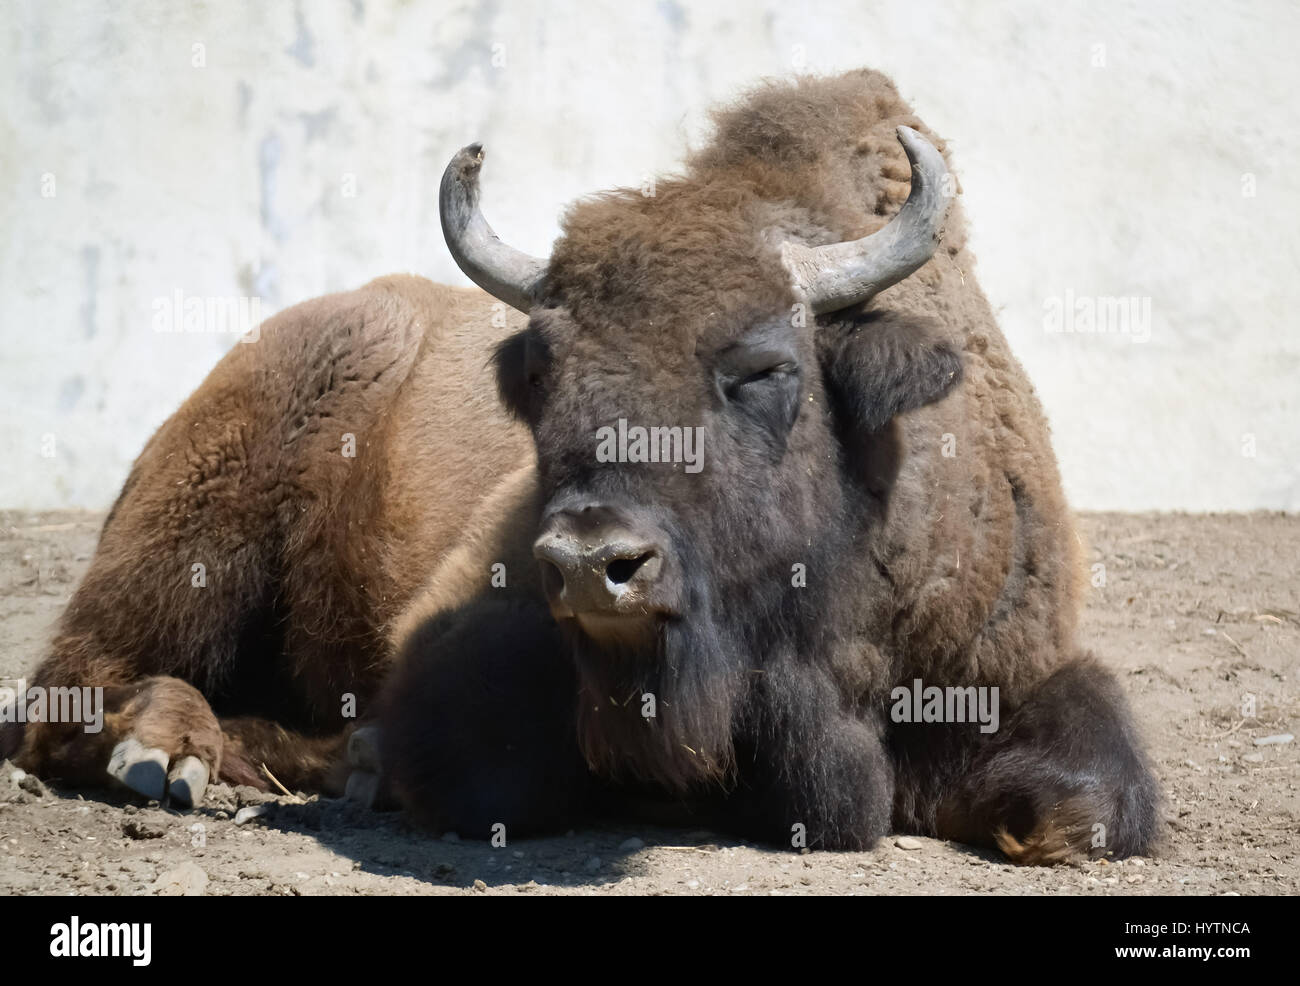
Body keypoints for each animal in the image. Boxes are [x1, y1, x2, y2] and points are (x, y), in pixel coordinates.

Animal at [3, 69, 1159, 862]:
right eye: (542, 367)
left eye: (762, 366)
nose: (592, 563)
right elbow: (491, 770)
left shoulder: (1006, 668)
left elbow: (1092, 803)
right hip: (184, 552)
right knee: (68, 692)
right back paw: (162, 758)